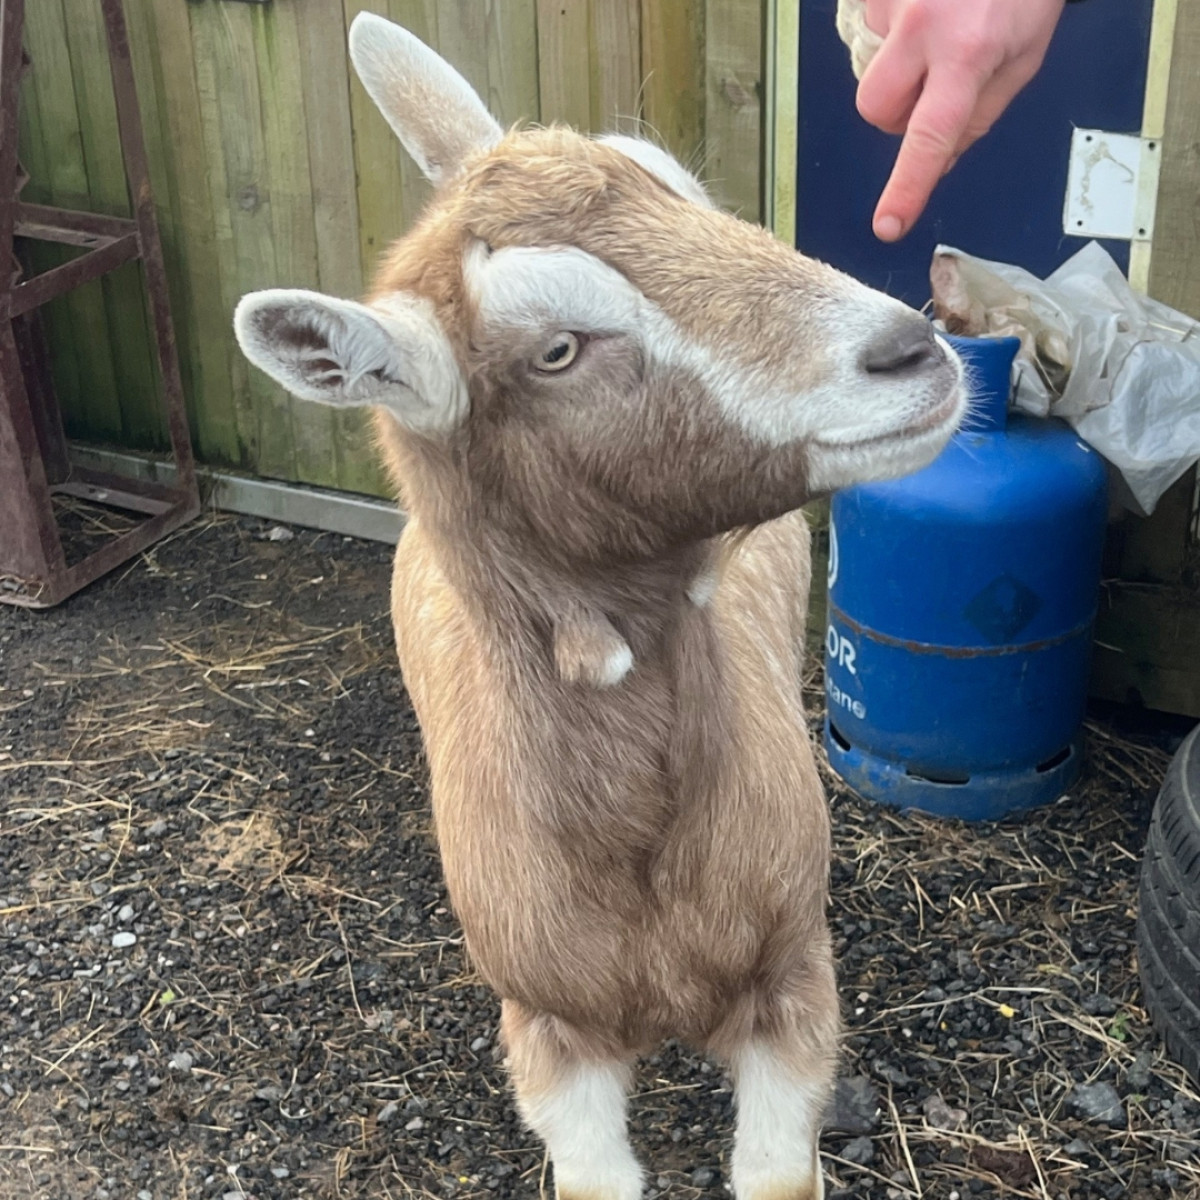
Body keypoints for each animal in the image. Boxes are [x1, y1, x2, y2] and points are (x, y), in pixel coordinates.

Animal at [233, 15, 964, 1199]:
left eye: (685, 200)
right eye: (558, 349)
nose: (914, 349)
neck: (639, 854)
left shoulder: (793, 987)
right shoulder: (547, 1033)